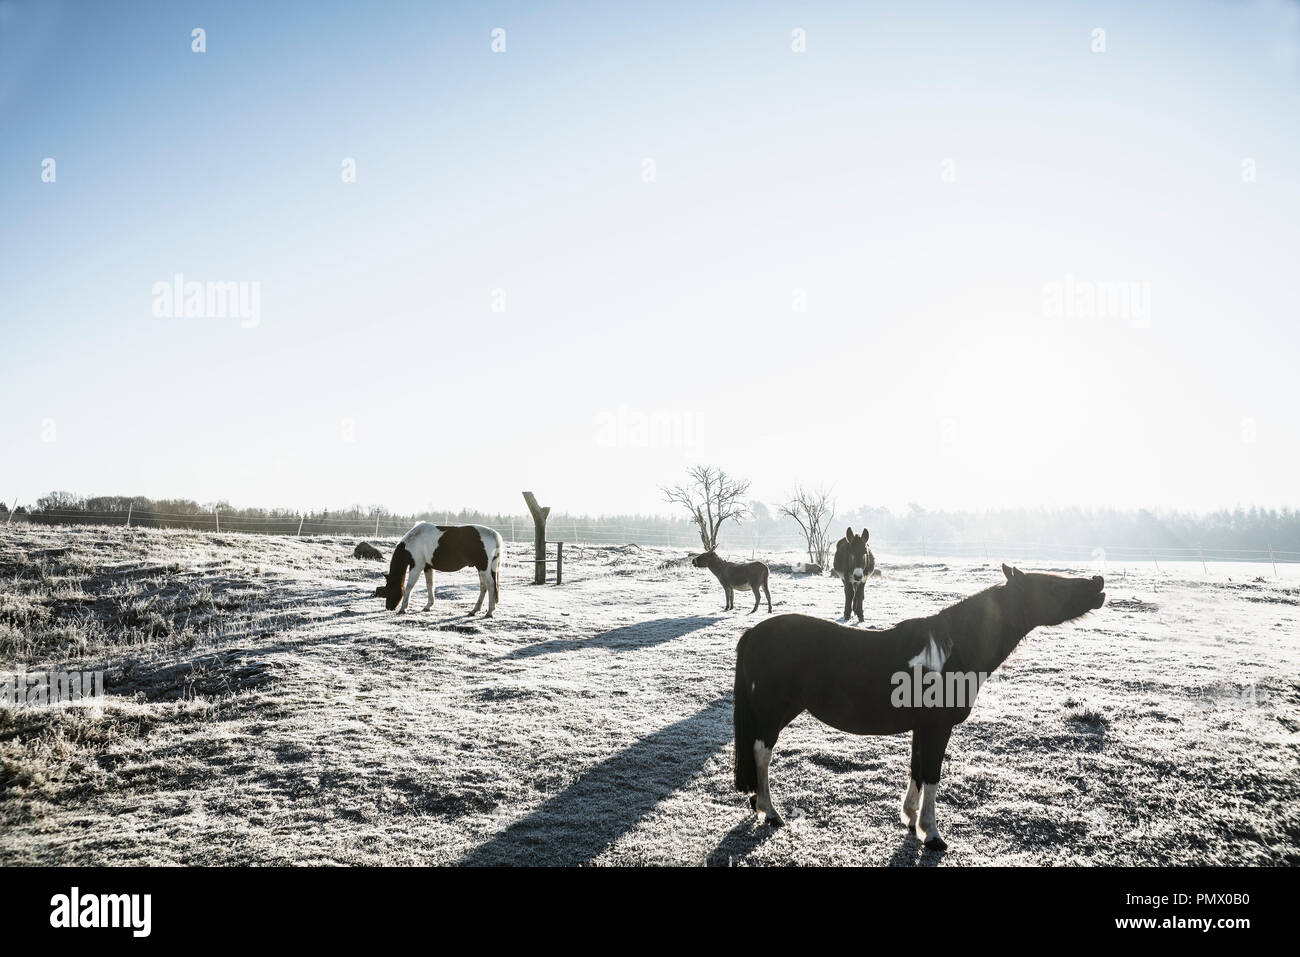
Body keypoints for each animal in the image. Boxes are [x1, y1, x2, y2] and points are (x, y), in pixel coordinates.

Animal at [372, 522, 504, 616]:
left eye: (389, 589)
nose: (388, 607)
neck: (413, 540)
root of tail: (494, 534)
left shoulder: (417, 566)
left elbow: (410, 586)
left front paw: (403, 608)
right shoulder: (427, 567)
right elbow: (430, 585)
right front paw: (428, 606)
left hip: (483, 568)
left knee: (491, 585)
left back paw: (489, 612)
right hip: (481, 569)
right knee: (484, 587)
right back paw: (474, 610)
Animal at [732, 564, 1104, 850]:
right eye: (1051, 585)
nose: (1098, 583)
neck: (953, 650)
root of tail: (754, 633)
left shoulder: (921, 728)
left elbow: (916, 769)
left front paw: (911, 820)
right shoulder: (937, 729)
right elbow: (932, 775)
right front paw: (933, 834)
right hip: (774, 713)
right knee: (761, 753)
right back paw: (770, 812)